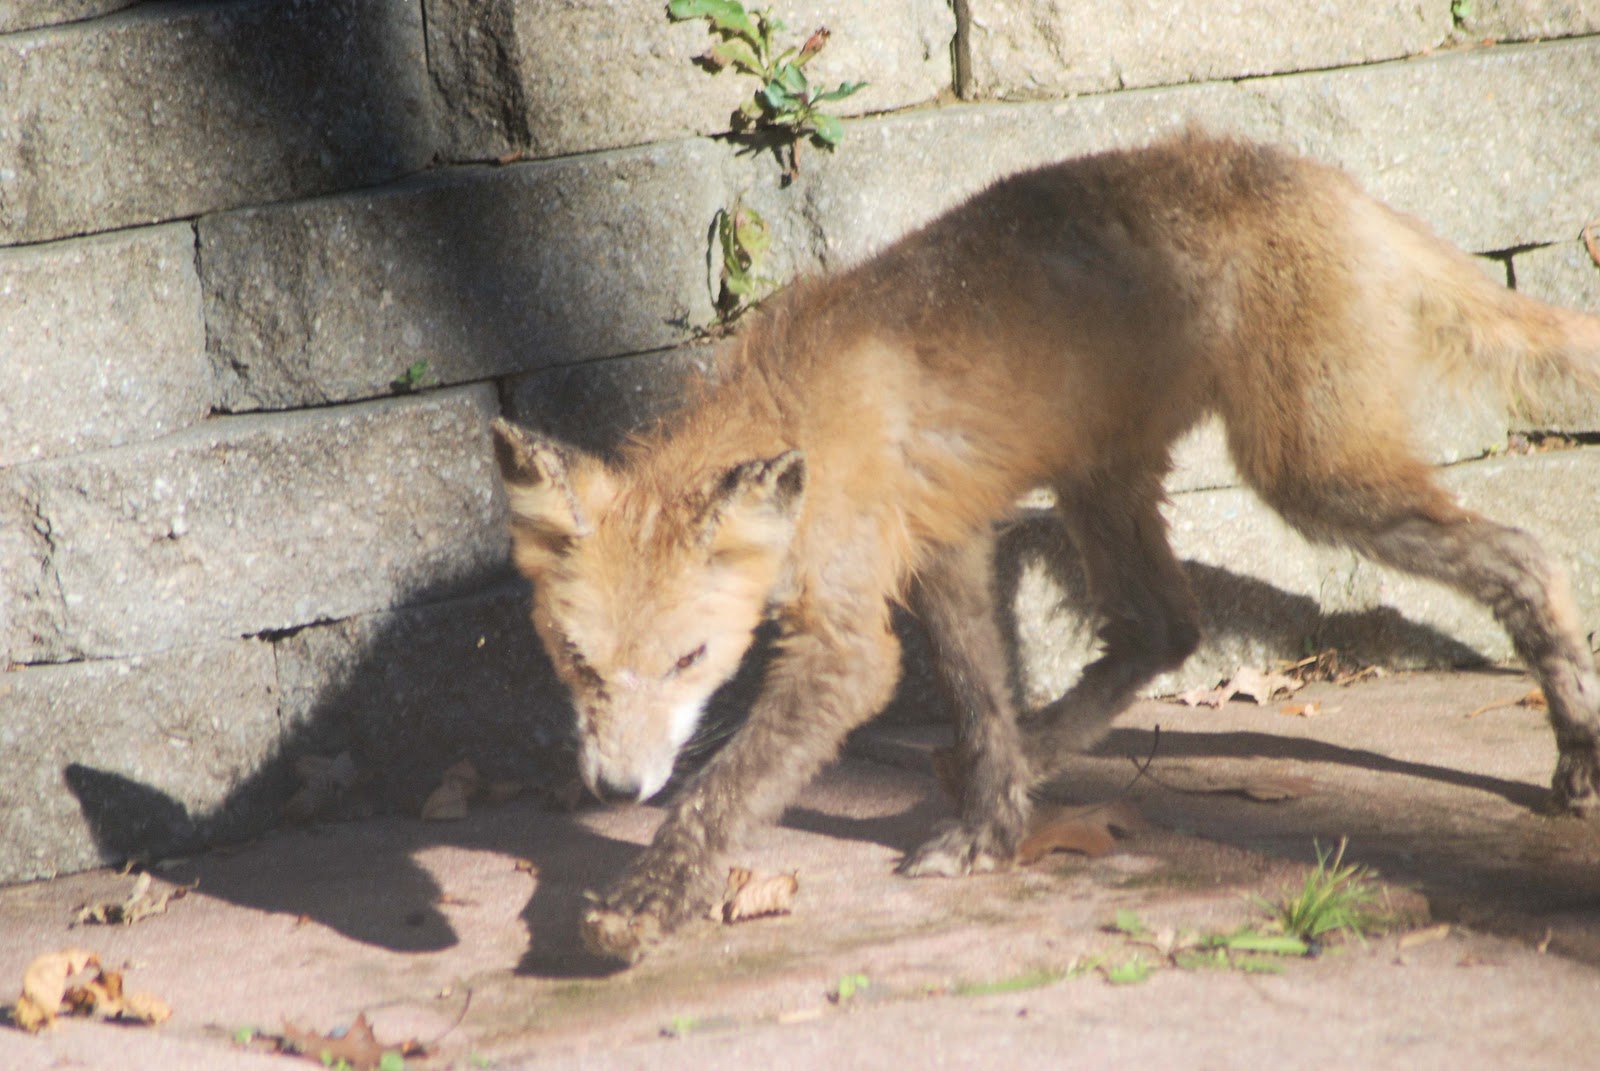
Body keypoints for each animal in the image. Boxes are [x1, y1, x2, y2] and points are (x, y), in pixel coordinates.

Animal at [491, 132, 1600, 963]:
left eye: (689, 659)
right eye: (578, 661)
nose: (616, 790)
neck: (802, 414)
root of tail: (1333, 183)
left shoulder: (853, 642)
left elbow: (721, 792)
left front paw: (641, 904)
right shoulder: (945, 547)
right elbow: (982, 704)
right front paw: (990, 825)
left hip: (1312, 478)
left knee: (1527, 556)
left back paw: (1578, 743)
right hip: (1103, 480)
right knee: (1164, 630)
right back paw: (1040, 758)